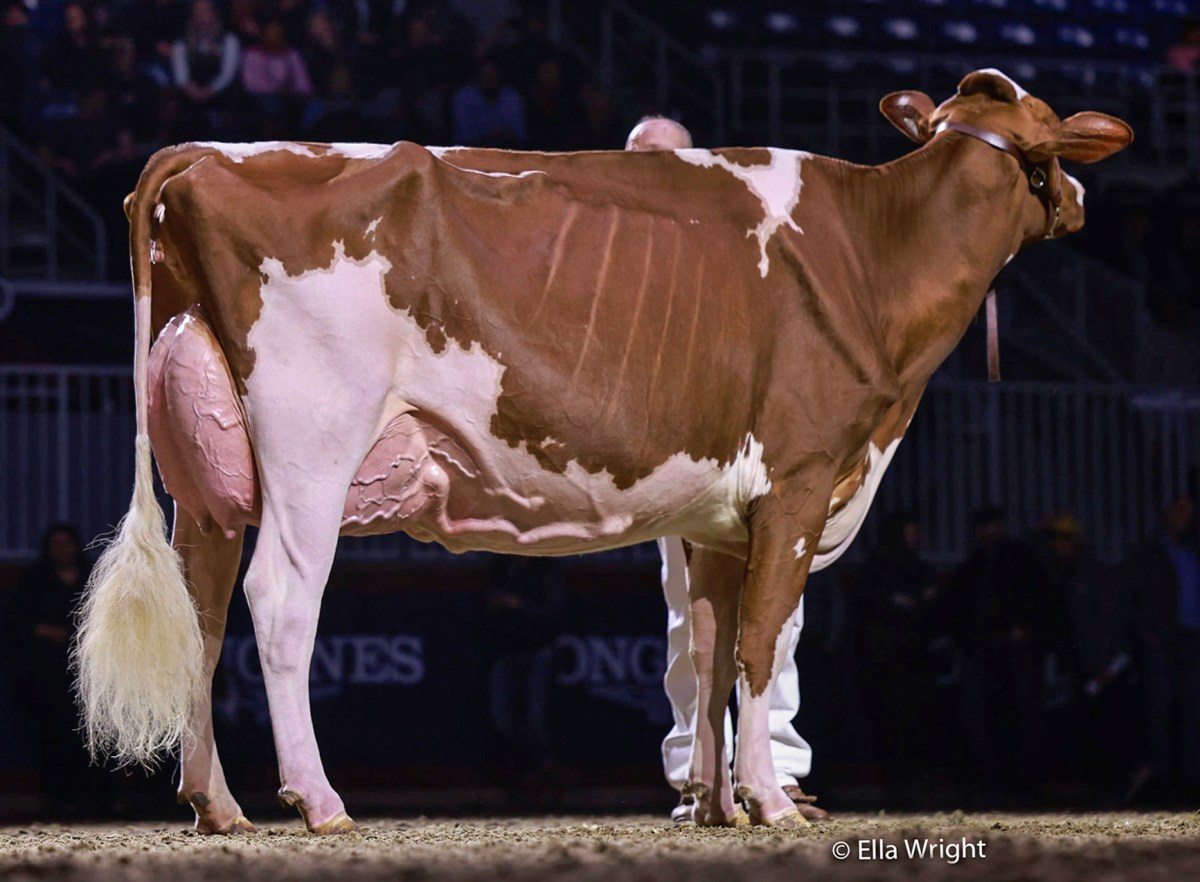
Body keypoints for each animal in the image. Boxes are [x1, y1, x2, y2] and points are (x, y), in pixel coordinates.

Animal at [74, 69, 1131, 834]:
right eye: (1051, 136)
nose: (1081, 196)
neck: (875, 256)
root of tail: (210, 152)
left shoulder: (718, 518)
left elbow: (708, 650)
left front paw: (715, 806)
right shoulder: (799, 480)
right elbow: (758, 645)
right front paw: (773, 804)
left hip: (207, 475)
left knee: (203, 615)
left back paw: (218, 806)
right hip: (310, 446)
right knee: (281, 607)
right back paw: (319, 802)